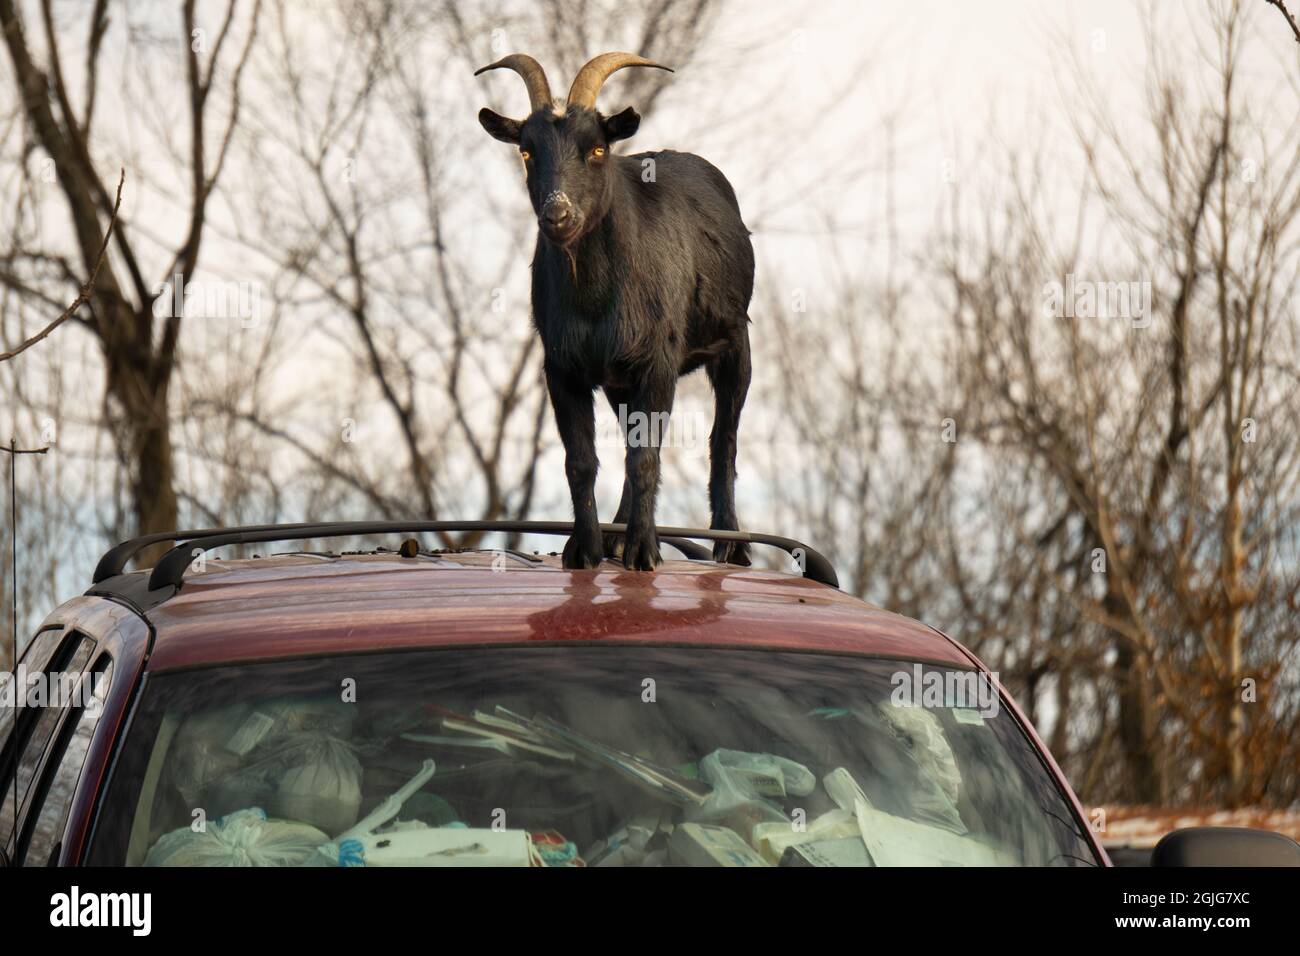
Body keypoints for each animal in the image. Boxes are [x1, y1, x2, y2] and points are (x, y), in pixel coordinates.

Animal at [476, 52, 753, 571]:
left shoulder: (658, 361)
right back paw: (619, 534)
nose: (557, 214)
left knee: (722, 438)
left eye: (598, 150)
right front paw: (585, 549)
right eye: (526, 152)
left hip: (736, 344)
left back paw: (730, 544)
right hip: (618, 382)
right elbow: (582, 460)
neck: (596, 296)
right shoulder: (563, 368)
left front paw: (644, 551)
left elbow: (646, 456)